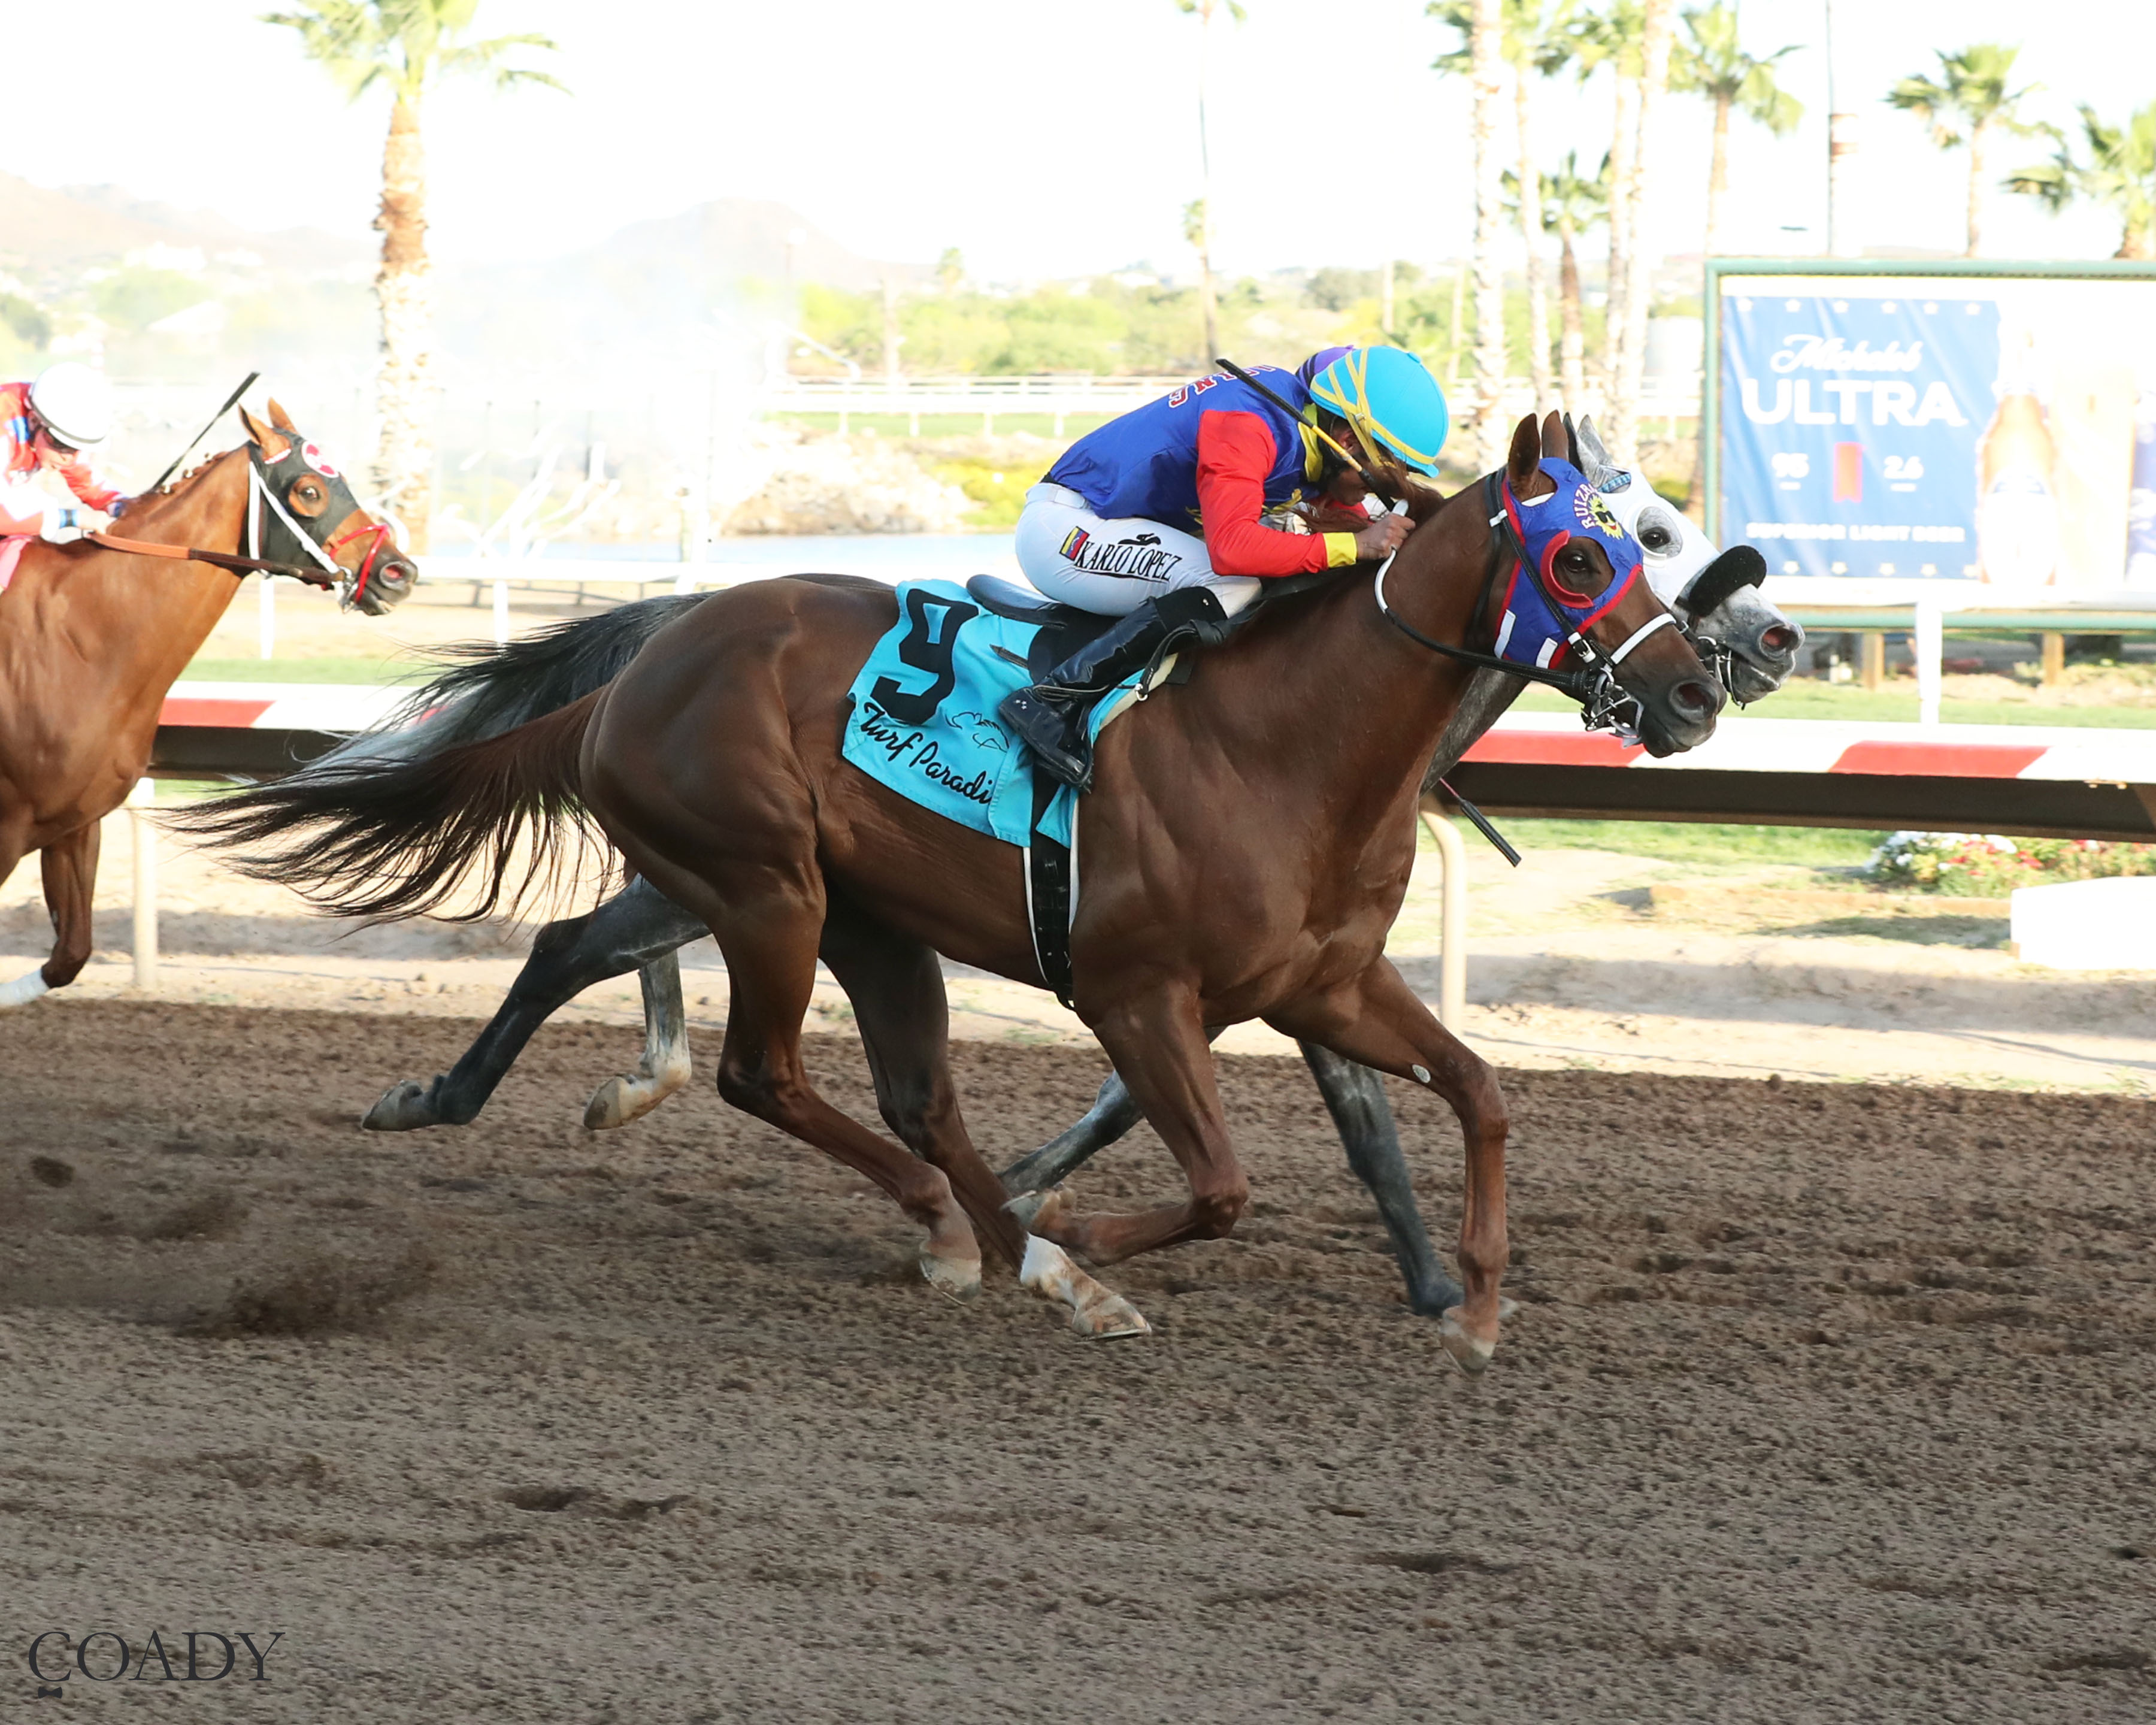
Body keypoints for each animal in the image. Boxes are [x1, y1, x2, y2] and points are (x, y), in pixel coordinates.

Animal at [0, 402, 416, 1009]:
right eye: (310, 490)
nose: (398, 572)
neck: (79, 637)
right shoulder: (7, 829)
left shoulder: (72, 823)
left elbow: (69, 957)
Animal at [179, 410, 1719, 1366]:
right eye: (1584, 550)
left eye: (1647, 542)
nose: (1698, 688)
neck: (1283, 742)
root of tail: (650, 655)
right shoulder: (1138, 996)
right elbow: (1221, 1186)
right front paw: (1086, 1242)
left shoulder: (1327, 984)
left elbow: (1479, 1091)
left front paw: (1471, 1306)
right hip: (766, 887)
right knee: (764, 1071)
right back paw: (990, 1241)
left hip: (862, 917)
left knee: (879, 1079)